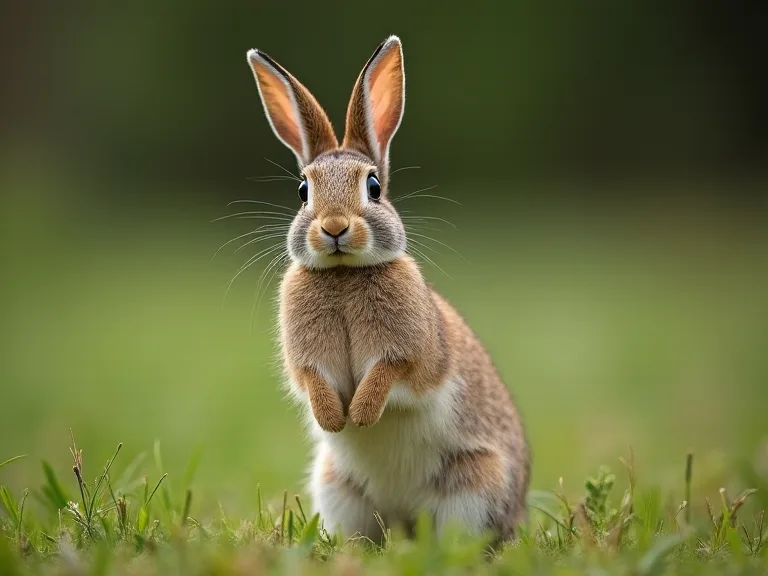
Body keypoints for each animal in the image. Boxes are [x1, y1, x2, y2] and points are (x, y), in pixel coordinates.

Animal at [246, 35, 530, 543]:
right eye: (303, 191)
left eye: (374, 187)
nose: (334, 227)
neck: (343, 274)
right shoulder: (308, 362)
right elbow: (312, 381)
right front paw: (333, 418)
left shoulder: (413, 356)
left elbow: (391, 373)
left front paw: (360, 414)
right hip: (335, 486)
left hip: (475, 483)